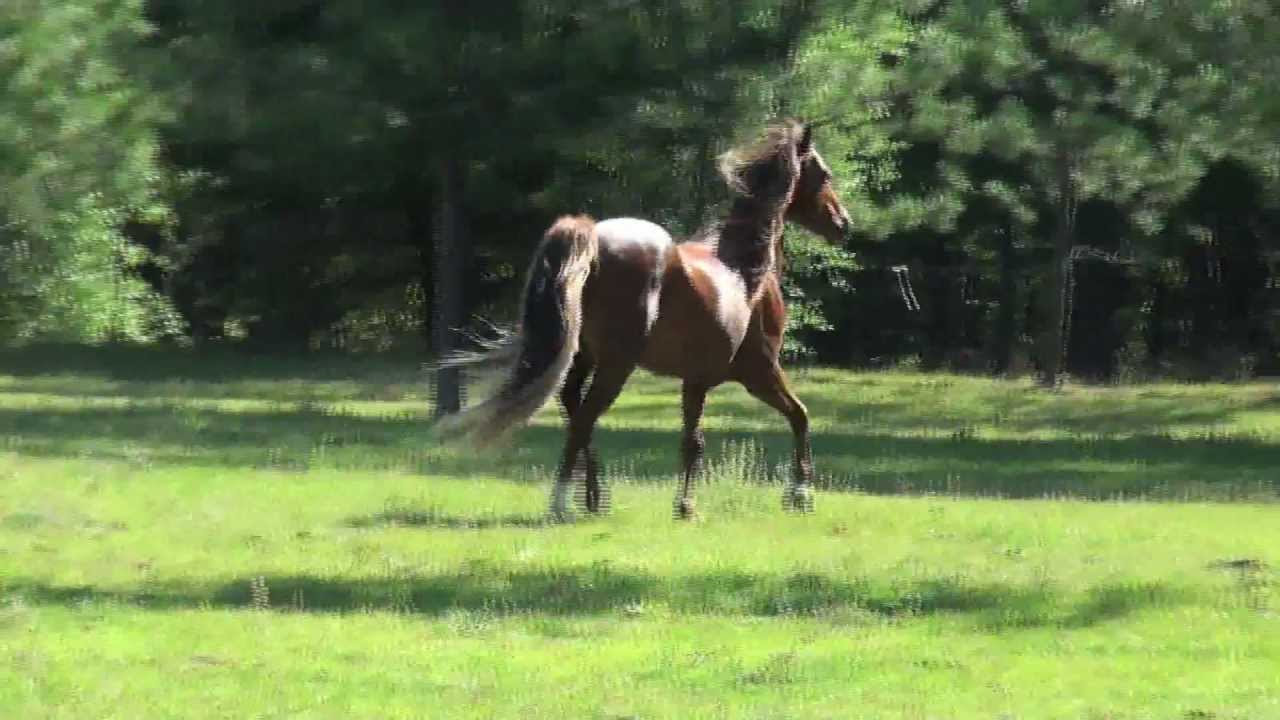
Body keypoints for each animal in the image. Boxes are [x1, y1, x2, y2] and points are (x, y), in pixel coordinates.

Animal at [434, 119, 853, 521]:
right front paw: (798, 495)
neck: (743, 271)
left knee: (576, 412)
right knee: (583, 419)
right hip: (616, 365)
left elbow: (693, 439)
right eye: (824, 174)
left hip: (585, 359)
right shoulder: (759, 372)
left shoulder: (696, 380)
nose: (843, 224)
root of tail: (592, 237)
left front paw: (685, 505)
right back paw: (562, 504)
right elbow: (797, 416)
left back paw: (595, 499)